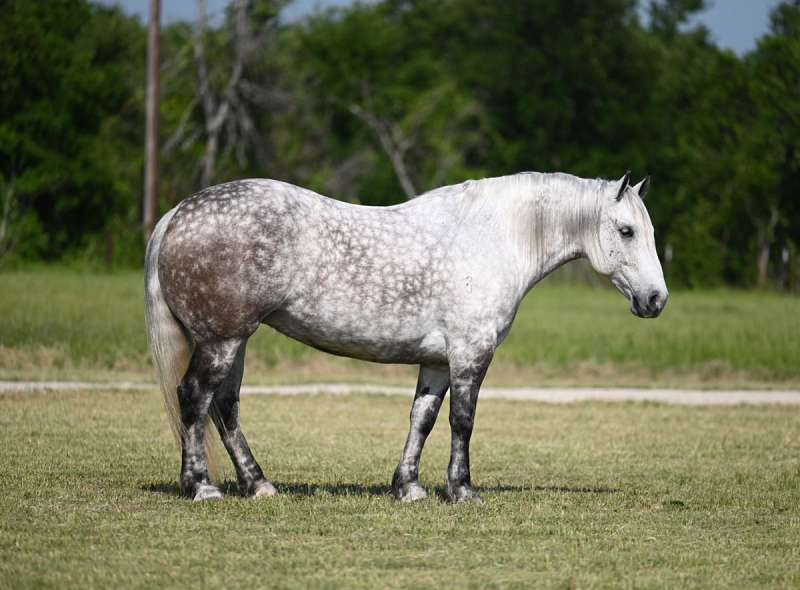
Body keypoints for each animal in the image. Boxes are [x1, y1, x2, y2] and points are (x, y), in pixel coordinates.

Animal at [144, 170, 667, 503]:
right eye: (626, 231)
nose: (656, 299)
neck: (495, 238)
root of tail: (177, 213)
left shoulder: (436, 361)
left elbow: (423, 418)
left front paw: (409, 487)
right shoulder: (470, 354)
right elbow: (462, 421)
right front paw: (462, 490)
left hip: (235, 341)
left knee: (225, 407)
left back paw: (259, 485)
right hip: (222, 340)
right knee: (194, 398)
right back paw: (202, 486)